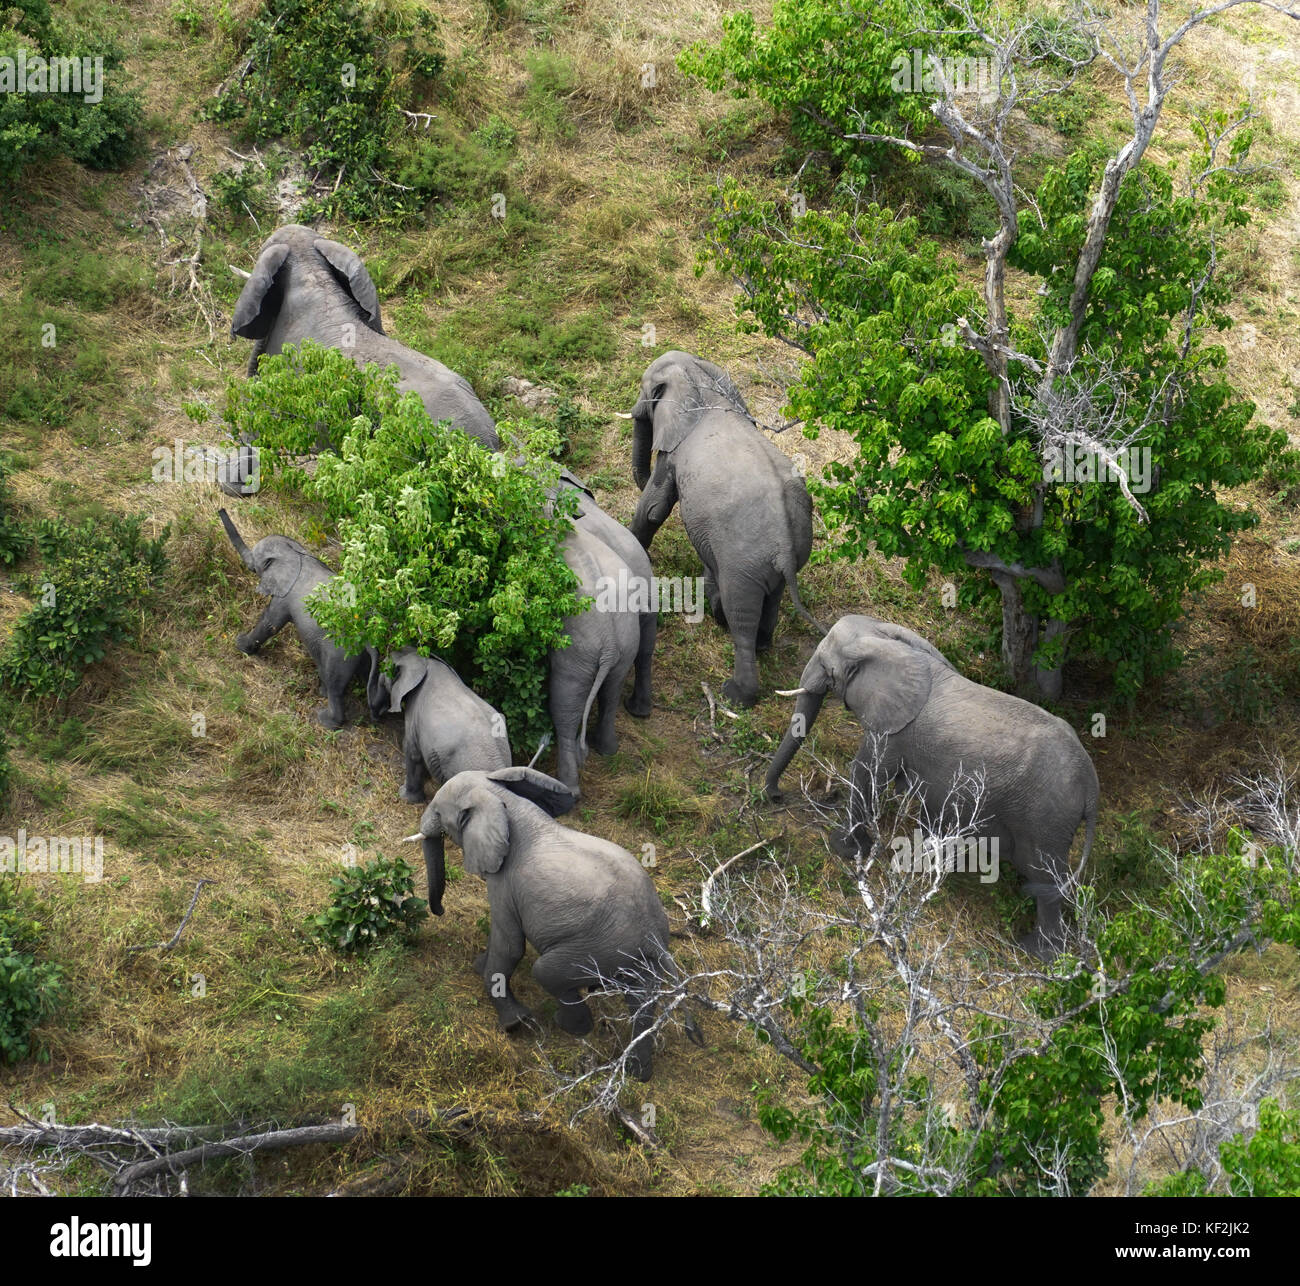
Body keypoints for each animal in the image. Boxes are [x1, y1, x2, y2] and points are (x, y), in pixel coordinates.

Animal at [219, 508, 372, 729]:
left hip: (340, 651)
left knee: (334, 684)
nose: (220, 509)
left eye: (256, 564)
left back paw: (325, 719)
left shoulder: (285, 596)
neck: (297, 553)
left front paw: (240, 645)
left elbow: (270, 623)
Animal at [366, 647, 511, 803]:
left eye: (381, 680)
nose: (376, 718)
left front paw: (405, 797)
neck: (422, 659)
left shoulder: (415, 712)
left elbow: (412, 751)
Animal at [404, 767, 700, 1080]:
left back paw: (569, 1027)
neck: (501, 797)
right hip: (630, 955)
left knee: (546, 972)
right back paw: (637, 1073)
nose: (438, 910)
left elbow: (509, 945)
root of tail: (653, 937)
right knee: (641, 997)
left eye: (438, 812)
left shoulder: (505, 882)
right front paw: (479, 967)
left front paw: (515, 1023)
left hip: (597, 948)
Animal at [625, 351, 818, 708]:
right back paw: (760, 644)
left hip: (742, 565)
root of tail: (785, 546)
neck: (703, 381)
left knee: (740, 612)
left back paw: (735, 693)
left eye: (647, 390)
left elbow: (655, 507)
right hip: (788, 557)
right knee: (772, 600)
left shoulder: (675, 452)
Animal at [764, 615, 1099, 960]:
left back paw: (1037, 953)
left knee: (1044, 877)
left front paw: (845, 849)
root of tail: (1091, 787)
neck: (890, 644)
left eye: (826, 667)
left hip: (1045, 818)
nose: (777, 796)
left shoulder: (893, 731)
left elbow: (865, 773)